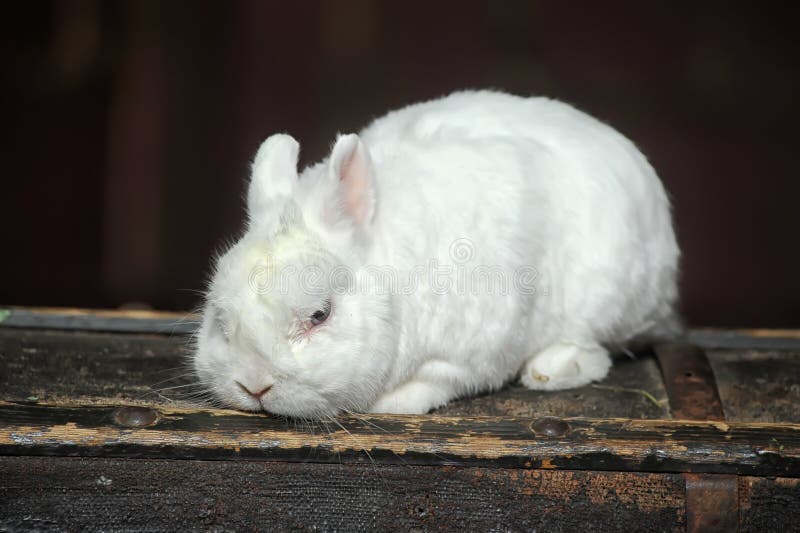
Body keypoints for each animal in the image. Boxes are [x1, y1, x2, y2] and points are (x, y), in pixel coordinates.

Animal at [193, 90, 681, 418]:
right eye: (220, 319)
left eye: (320, 315)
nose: (254, 385)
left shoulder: (476, 349)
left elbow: (441, 378)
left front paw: (396, 401)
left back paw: (555, 368)